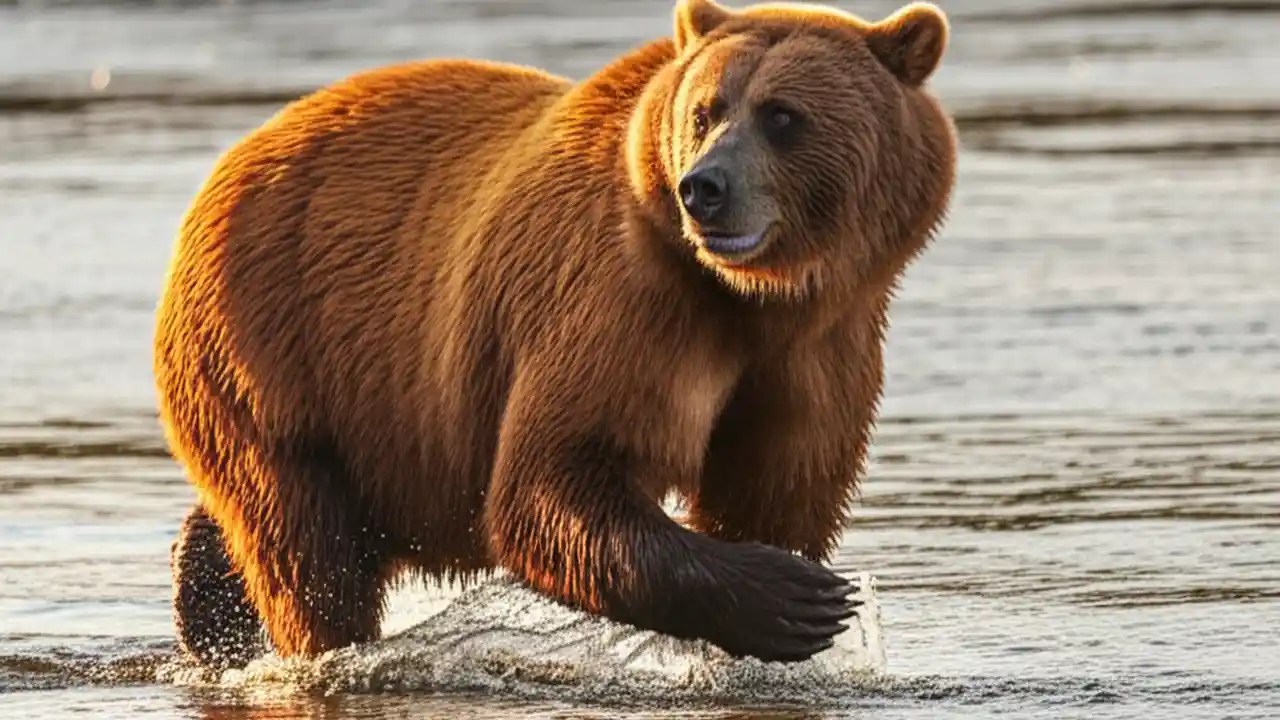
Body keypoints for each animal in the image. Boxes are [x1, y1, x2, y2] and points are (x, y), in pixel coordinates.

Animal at [155, 0, 956, 668]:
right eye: (706, 111)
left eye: (783, 115)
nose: (705, 187)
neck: (755, 299)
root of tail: (232, 161)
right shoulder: (623, 302)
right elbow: (556, 477)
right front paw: (795, 598)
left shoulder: (823, 346)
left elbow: (779, 484)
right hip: (270, 350)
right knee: (307, 543)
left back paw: (207, 596)